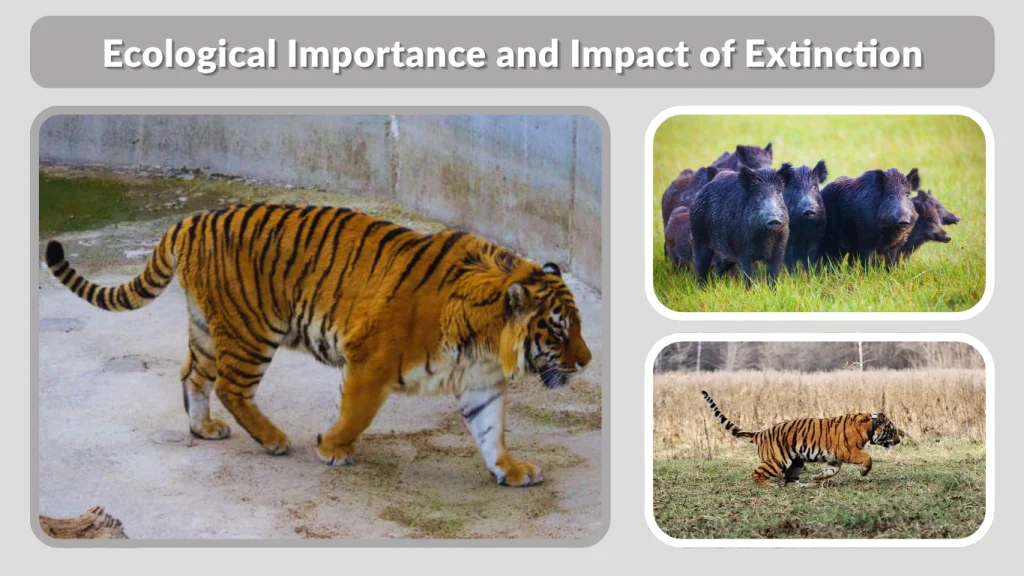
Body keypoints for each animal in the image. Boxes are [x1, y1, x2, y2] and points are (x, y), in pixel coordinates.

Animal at [44, 202, 593, 487]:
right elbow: (356, 413)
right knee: (230, 387)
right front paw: (331, 448)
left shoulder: (482, 383)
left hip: (207, 328)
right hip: (250, 331)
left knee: (191, 376)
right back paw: (272, 439)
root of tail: (191, 219)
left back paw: (204, 429)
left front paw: (511, 469)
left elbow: (491, 431)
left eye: (577, 326)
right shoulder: (371, 362)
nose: (587, 362)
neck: (485, 339)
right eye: (558, 329)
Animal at [700, 391, 900, 487]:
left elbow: (832, 471)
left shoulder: (835, 459)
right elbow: (868, 458)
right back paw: (768, 486)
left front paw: (818, 477)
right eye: (893, 431)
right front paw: (864, 472)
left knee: (790, 482)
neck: (870, 426)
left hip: (796, 462)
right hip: (777, 460)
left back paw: (806, 485)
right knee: (756, 473)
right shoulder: (848, 451)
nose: (899, 441)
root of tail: (761, 433)